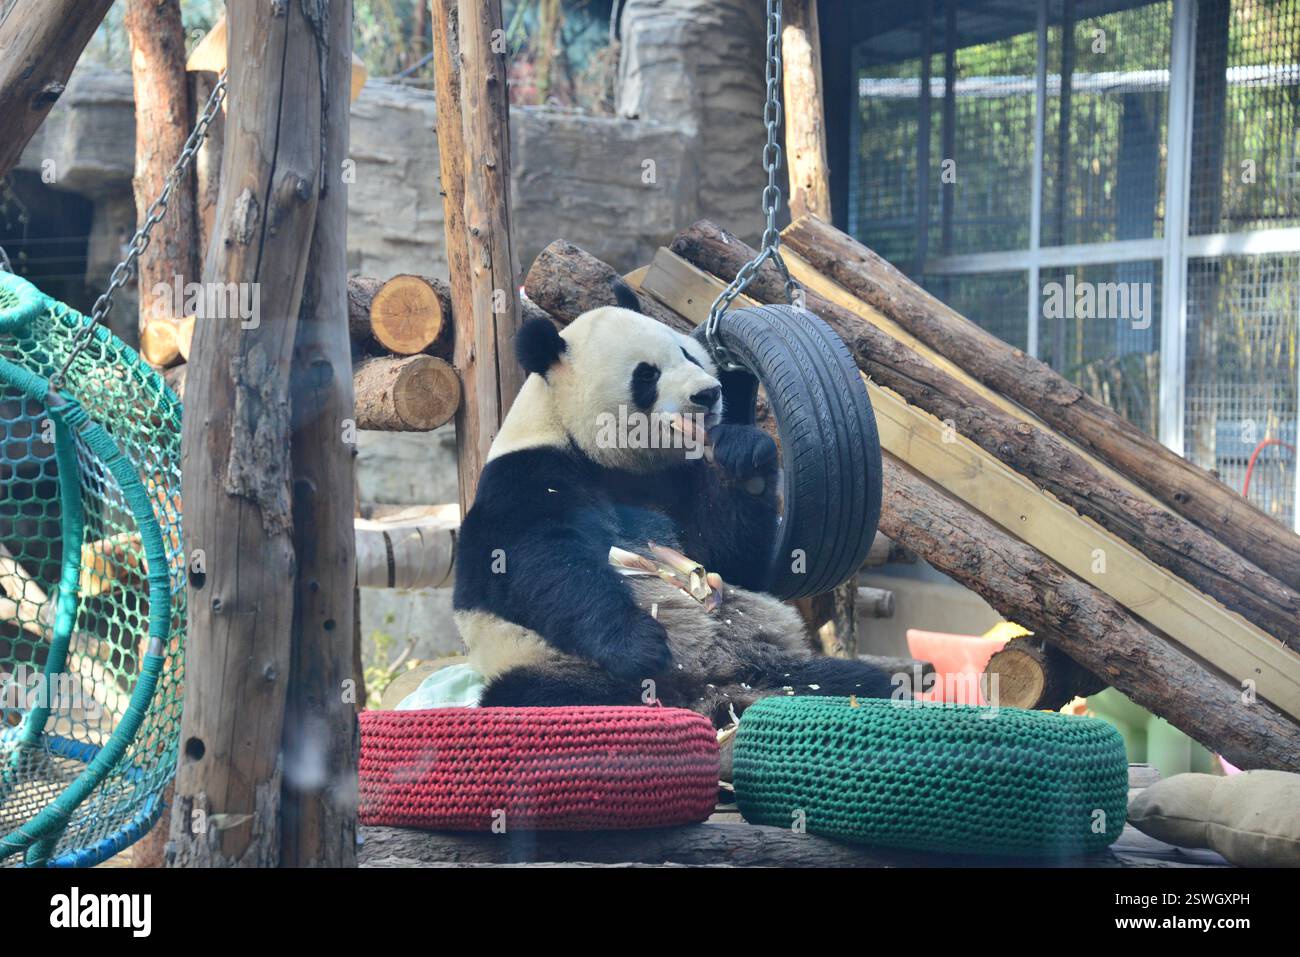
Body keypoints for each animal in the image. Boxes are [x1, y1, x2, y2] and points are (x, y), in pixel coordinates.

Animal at [452, 281, 897, 723]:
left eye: (688, 353)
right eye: (646, 374)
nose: (709, 393)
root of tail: (711, 692)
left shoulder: (675, 479)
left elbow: (730, 559)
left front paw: (743, 455)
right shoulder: (527, 475)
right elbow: (538, 563)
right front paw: (637, 642)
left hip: (771, 665)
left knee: (857, 682)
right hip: (556, 667)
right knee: (537, 695)